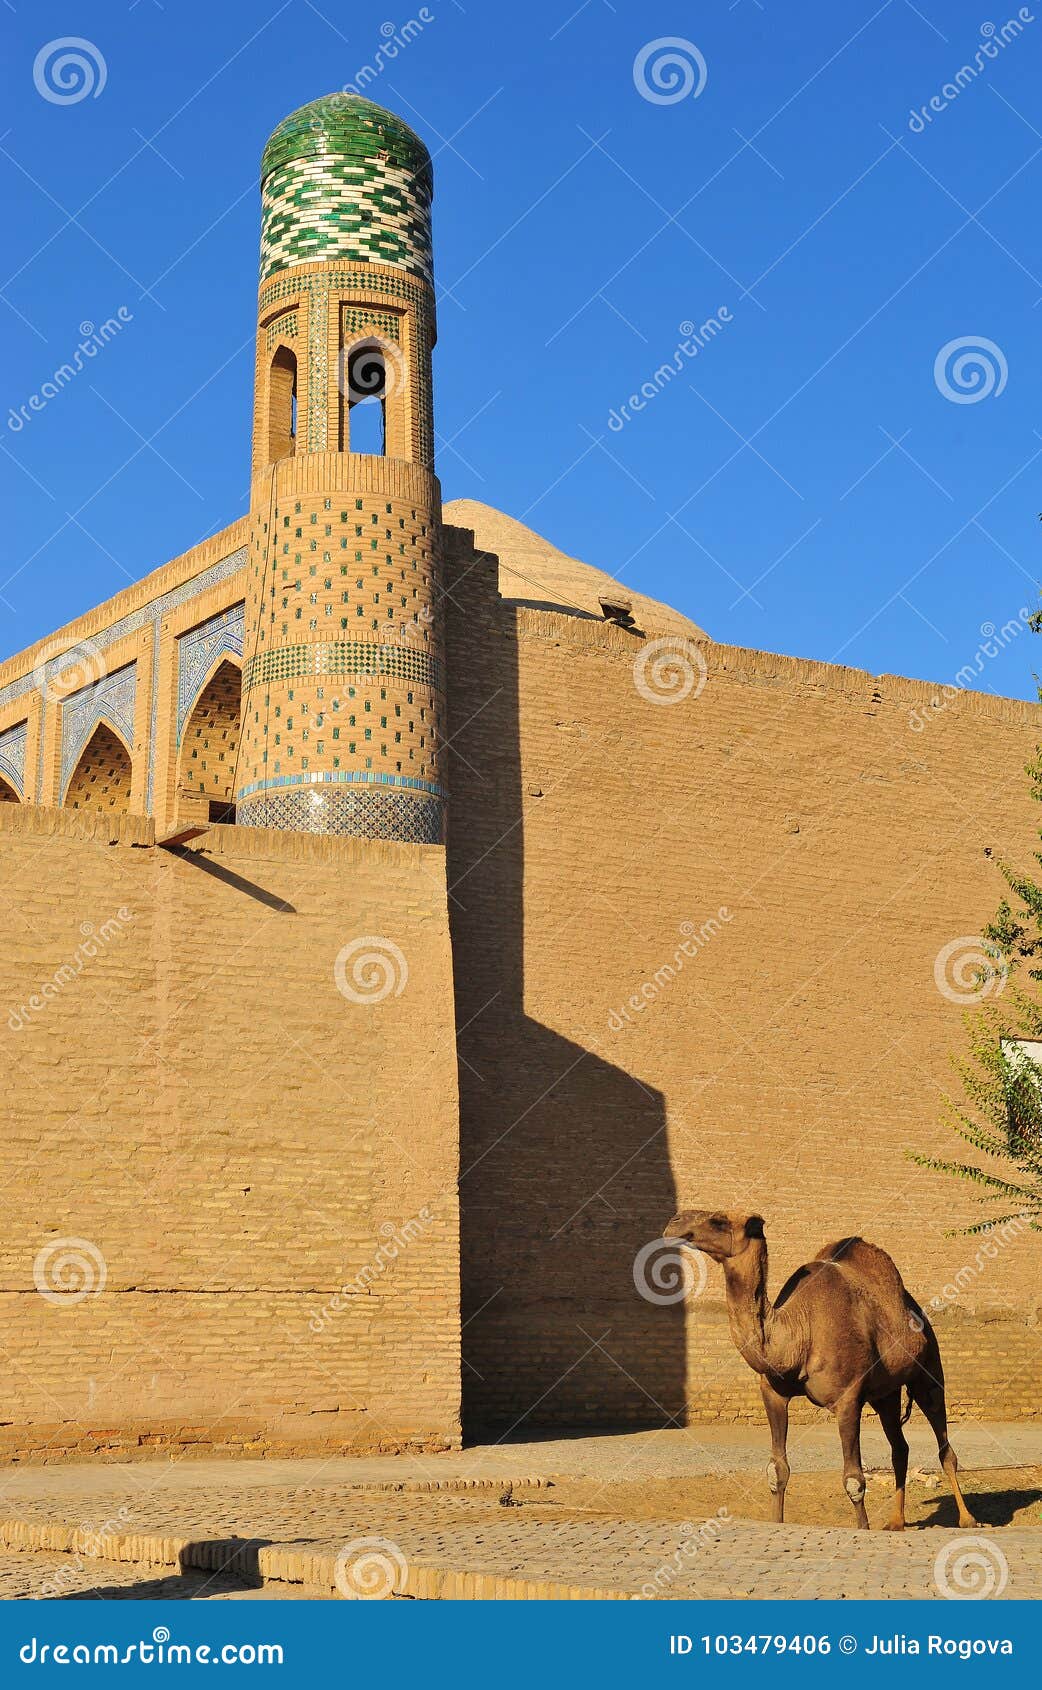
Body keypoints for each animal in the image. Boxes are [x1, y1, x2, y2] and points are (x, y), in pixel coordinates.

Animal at [662, 1209, 978, 1531]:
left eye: (719, 1221)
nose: (673, 1223)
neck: (799, 1333)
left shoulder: (848, 1398)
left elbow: (854, 1480)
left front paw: (863, 1529)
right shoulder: (773, 1393)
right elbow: (777, 1470)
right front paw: (777, 1521)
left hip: (928, 1370)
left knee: (943, 1444)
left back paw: (967, 1519)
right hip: (885, 1394)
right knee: (899, 1448)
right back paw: (896, 1522)